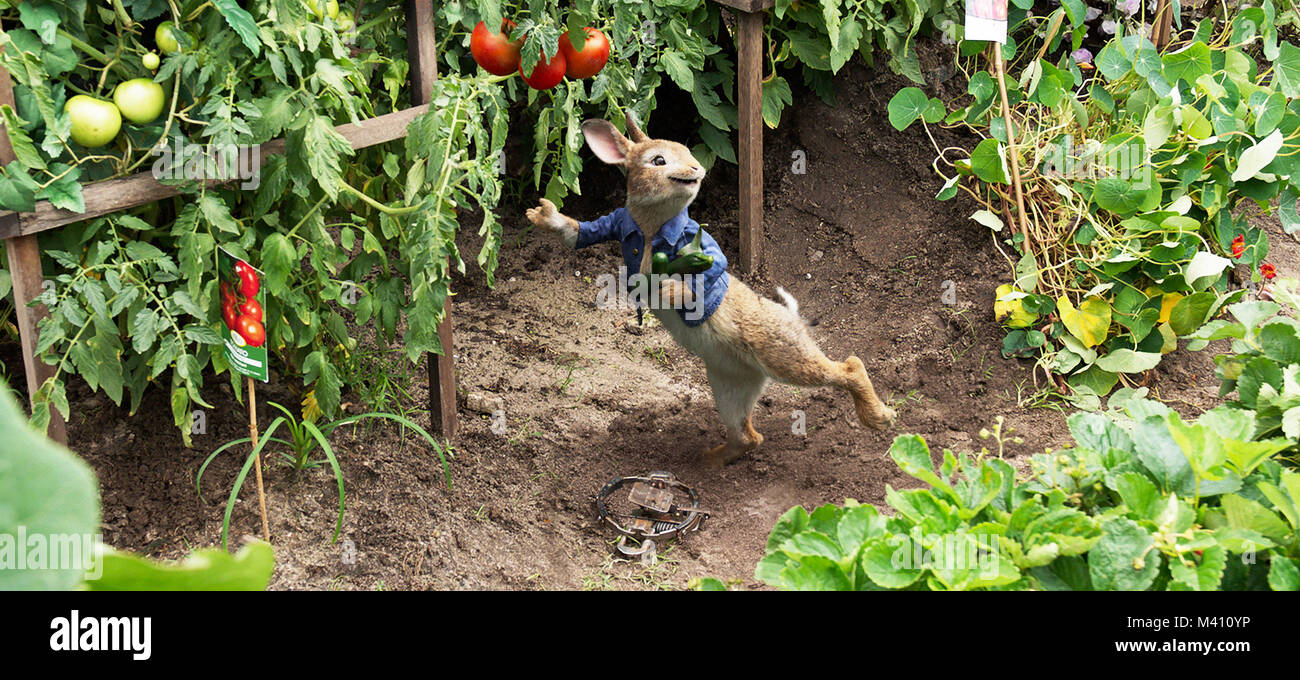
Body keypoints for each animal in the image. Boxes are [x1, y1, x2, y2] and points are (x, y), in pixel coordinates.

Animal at [526, 112, 896, 466]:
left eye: (688, 152)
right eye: (658, 160)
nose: (696, 169)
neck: (652, 229)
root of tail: (792, 319)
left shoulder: (699, 249)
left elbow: (709, 269)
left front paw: (668, 291)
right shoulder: (617, 223)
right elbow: (583, 231)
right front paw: (541, 214)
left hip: (784, 357)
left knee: (849, 368)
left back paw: (879, 418)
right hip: (729, 387)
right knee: (748, 437)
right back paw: (707, 463)